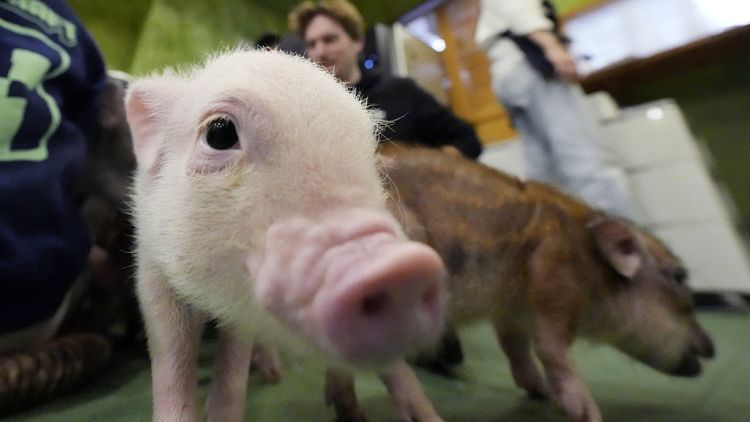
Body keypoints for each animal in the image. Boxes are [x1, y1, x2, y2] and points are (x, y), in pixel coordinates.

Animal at [125, 49, 448, 422]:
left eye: (368, 153)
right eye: (219, 133)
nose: (401, 270)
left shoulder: (242, 310)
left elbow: (233, 364)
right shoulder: (151, 268)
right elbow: (171, 356)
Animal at [326, 144, 715, 422]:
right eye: (679, 277)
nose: (712, 347)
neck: (588, 263)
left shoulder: (511, 311)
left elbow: (515, 347)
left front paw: (539, 391)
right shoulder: (553, 282)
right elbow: (551, 347)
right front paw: (588, 415)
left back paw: (351, 413)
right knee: (388, 362)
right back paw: (428, 418)